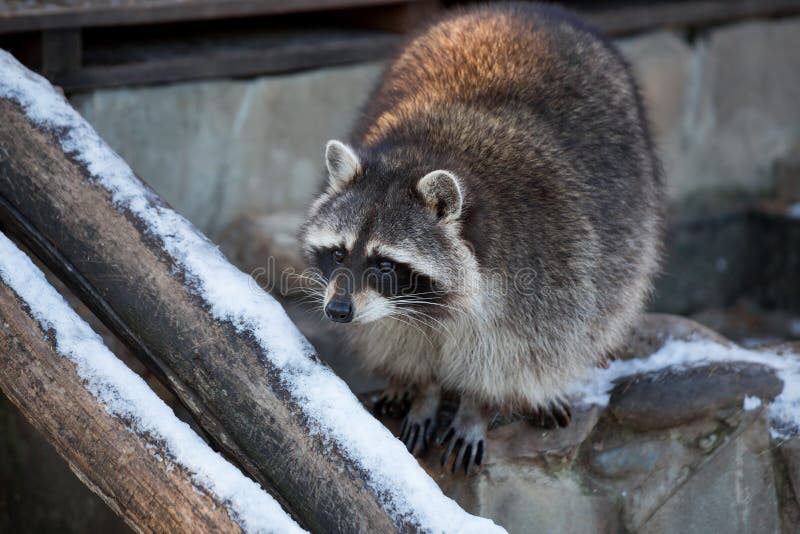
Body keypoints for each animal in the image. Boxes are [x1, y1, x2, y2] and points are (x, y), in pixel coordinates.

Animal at [300, 3, 663, 473]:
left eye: (385, 263)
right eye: (339, 254)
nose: (338, 311)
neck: (421, 154)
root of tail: (521, 9)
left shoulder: (544, 270)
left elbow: (510, 358)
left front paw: (476, 409)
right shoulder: (389, 311)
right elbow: (398, 339)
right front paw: (422, 391)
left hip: (628, 214)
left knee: (604, 307)